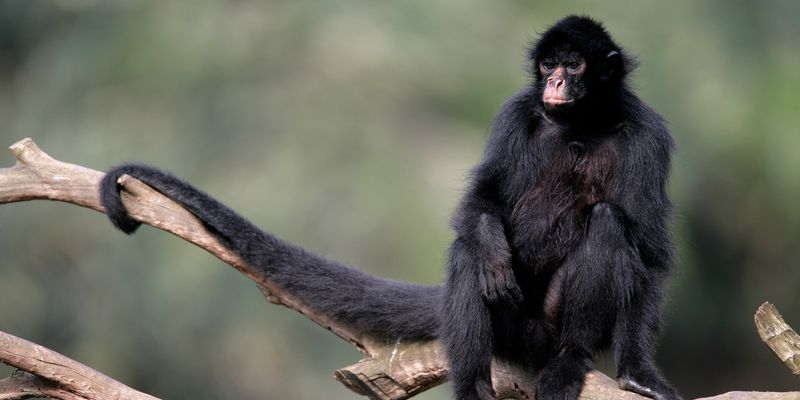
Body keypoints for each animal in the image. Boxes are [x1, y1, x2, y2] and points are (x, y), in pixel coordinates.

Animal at [100, 15, 679, 400]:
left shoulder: (648, 133)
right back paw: (472, 384)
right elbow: (481, 204)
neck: (579, 124)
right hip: (512, 327)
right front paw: (492, 247)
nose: (556, 81)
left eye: (574, 65)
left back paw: (567, 361)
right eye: (547, 64)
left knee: (607, 223)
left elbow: (650, 252)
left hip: (546, 327)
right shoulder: (517, 110)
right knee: (469, 247)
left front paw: (638, 373)